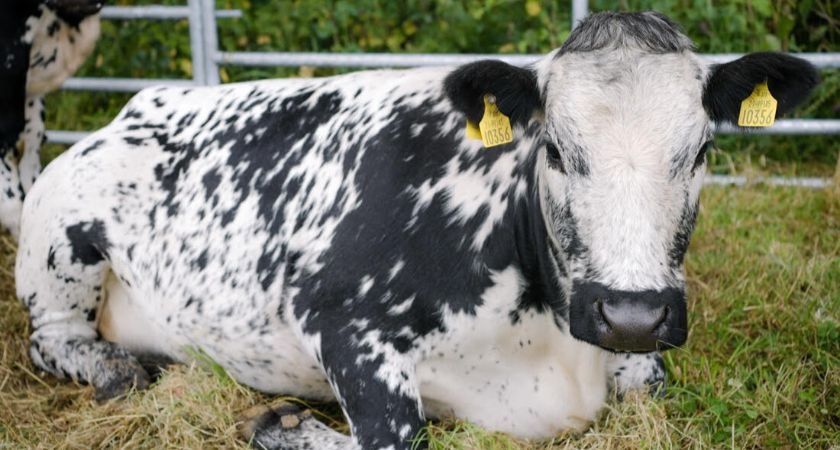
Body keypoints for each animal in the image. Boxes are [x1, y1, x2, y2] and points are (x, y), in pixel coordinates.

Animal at [15, 11, 817, 450]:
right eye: (555, 149)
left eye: (702, 150)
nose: (631, 314)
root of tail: (134, 106)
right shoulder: (335, 316)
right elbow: (399, 436)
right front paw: (279, 423)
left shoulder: (640, 364)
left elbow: (654, 388)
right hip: (62, 245)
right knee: (52, 339)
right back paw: (118, 368)